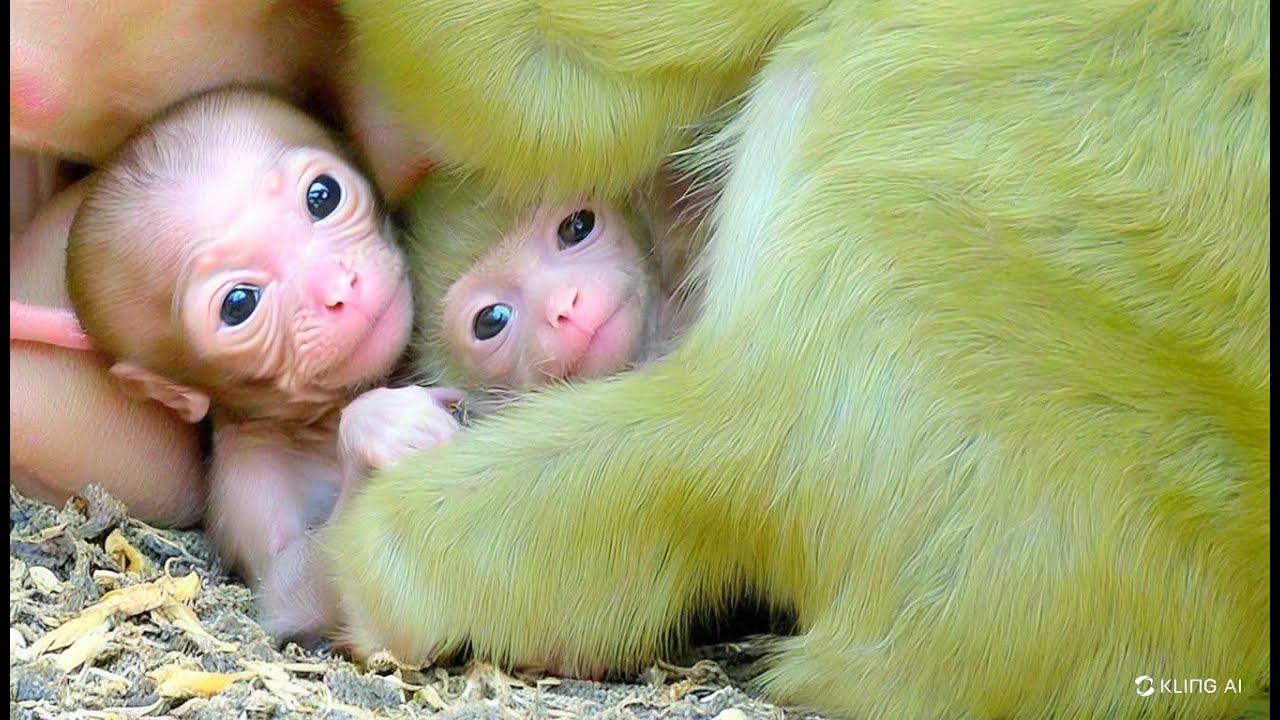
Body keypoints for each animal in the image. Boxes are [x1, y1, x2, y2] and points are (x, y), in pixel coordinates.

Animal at [60, 84, 460, 641]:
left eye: (323, 196)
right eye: (238, 304)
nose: (337, 288)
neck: (316, 424)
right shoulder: (246, 480)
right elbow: (286, 595)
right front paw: (380, 428)